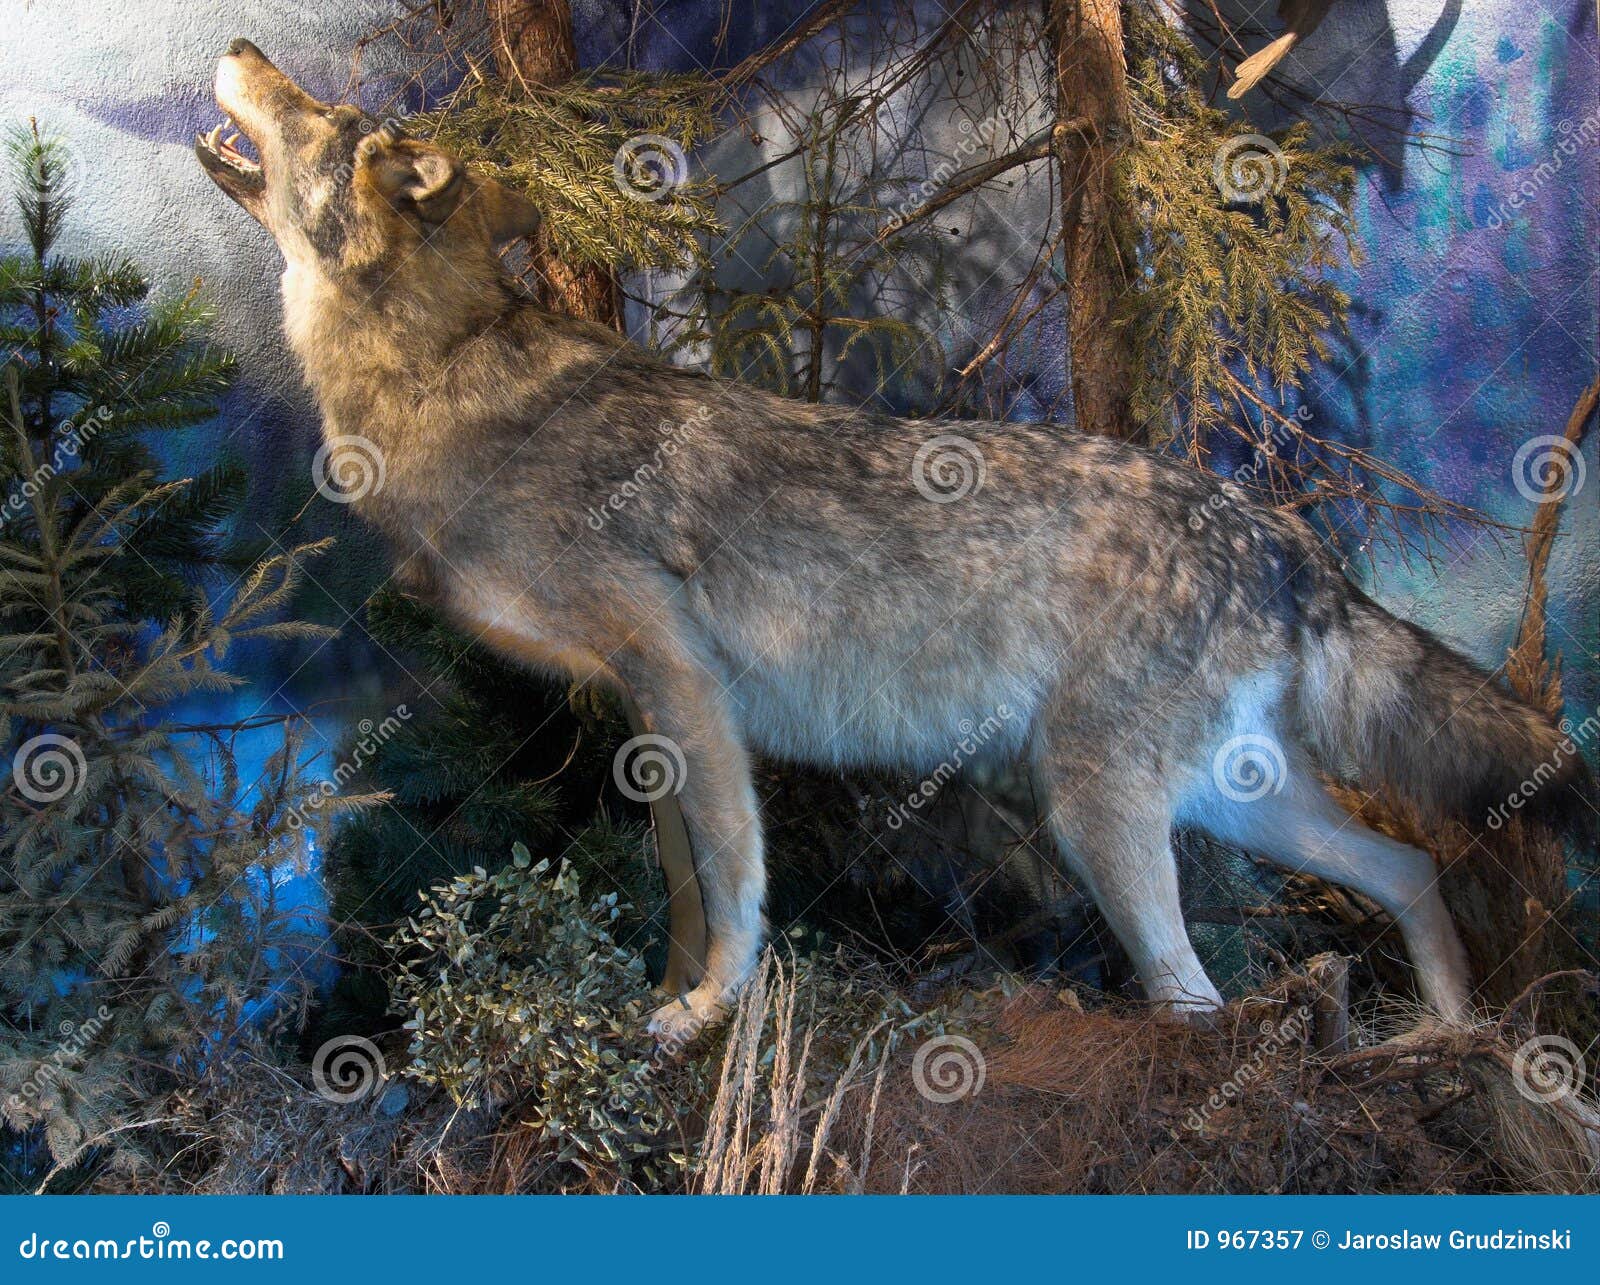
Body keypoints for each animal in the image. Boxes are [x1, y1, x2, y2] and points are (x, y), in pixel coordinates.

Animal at [198, 39, 1594, 1041]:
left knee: (1199, 995)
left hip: (1102, 817)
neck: (444, 379)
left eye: (321, 114)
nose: (241, 41)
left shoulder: (682, 688)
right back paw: (1447, 1043)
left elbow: (733, 888)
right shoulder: (650, 718)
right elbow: (681, 886)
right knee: (1408, 870)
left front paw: (704, 1016)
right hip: (1233, 802)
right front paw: (661, 998)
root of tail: (1275, 531)